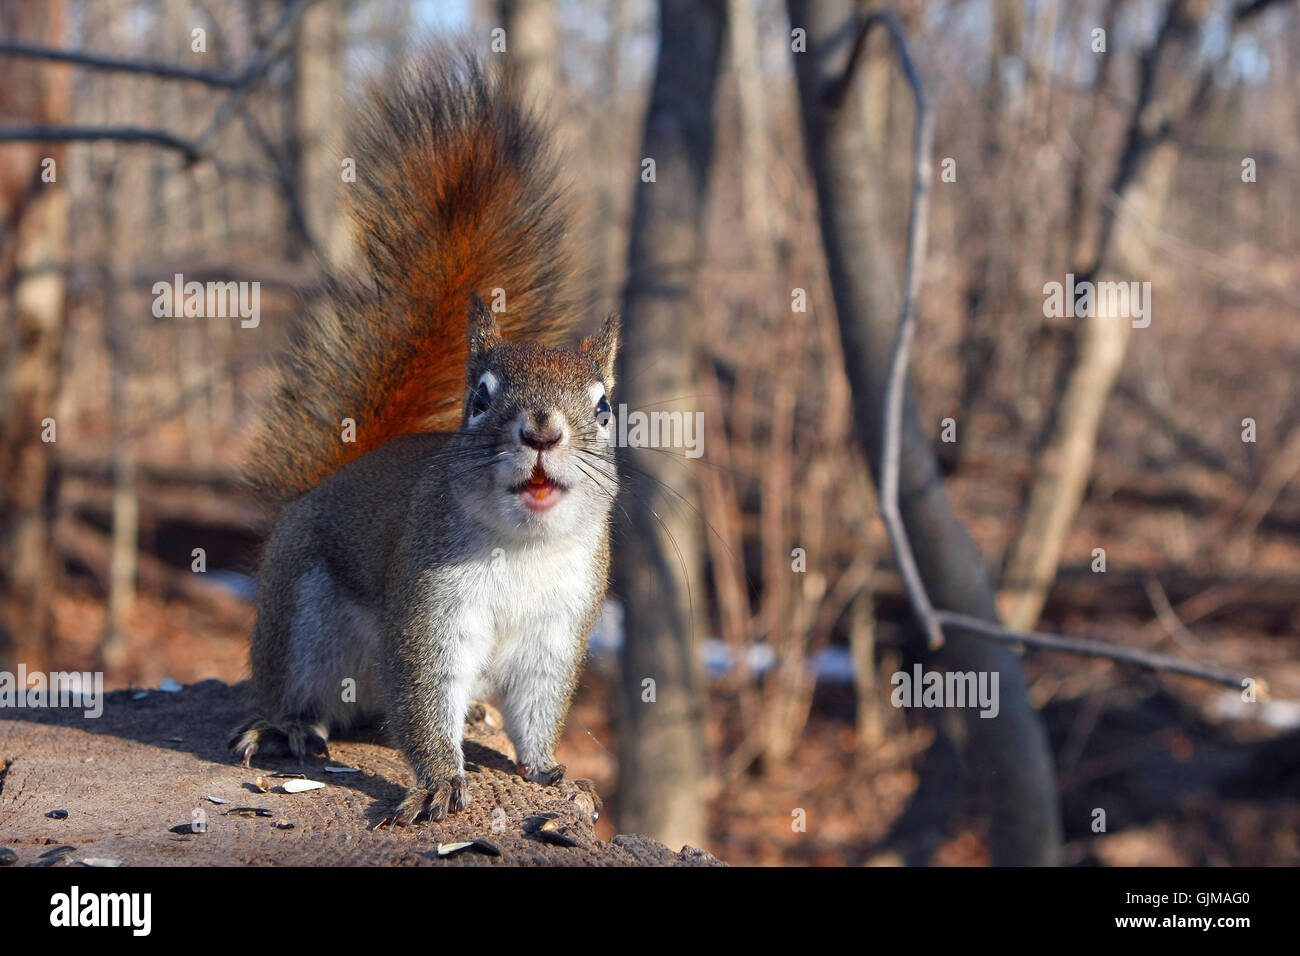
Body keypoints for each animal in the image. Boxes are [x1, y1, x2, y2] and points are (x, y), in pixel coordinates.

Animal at [230, 49, 620, 825]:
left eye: (604, 407)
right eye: (480, 399)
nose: (542, 430)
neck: (525, 548)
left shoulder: (560, 629)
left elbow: (539, 707)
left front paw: (548, 769)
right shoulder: (429, 602)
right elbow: (422, 692)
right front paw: (441, 778)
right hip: (297, 616)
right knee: (296, 687)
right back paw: (286, 725)